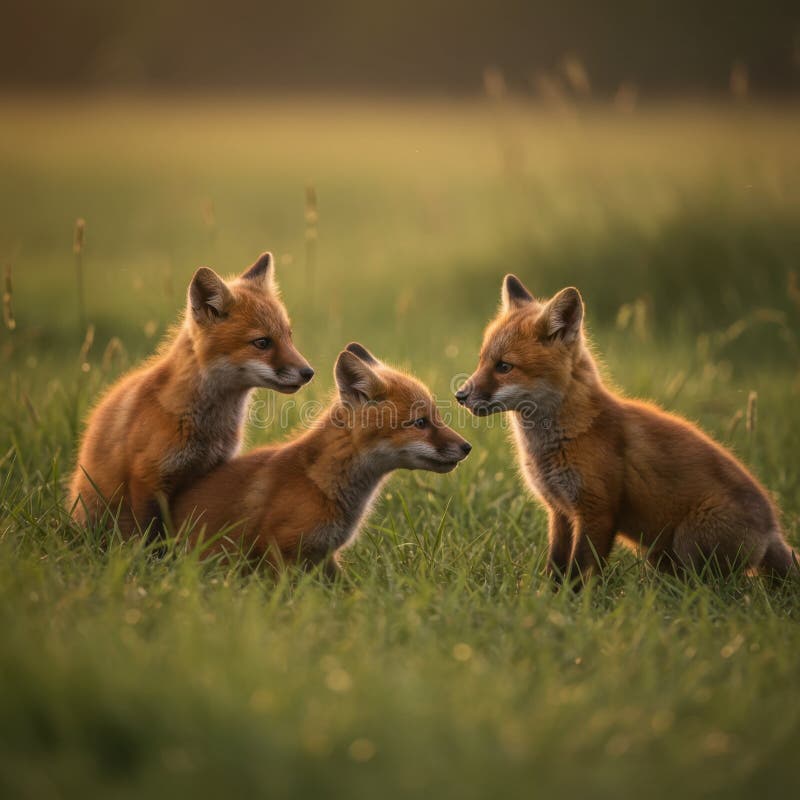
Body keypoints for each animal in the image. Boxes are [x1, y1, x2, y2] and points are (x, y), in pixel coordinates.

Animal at [68, 252, 314, 538]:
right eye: (262, 343)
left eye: (288, 337)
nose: (309, 372)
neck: (207, 428)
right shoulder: (147, 478)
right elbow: (149, 535)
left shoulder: (212, 471)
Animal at [171, 343, 472, 575]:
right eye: (420, 423)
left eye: (438, 418)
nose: (467, 447)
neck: (318, 482)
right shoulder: (279, 552)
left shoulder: (326, 559)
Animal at [455, 273, 798, 583]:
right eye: (482, 361)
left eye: (504, 367)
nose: (460, 395)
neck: (567, 435)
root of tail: (772, 528)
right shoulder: (560, 512)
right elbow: (556, 565)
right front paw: (545, 598)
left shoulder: (597, 510)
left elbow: (581, 570)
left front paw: (575, 604)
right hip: (661, 554)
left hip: (690, 544)